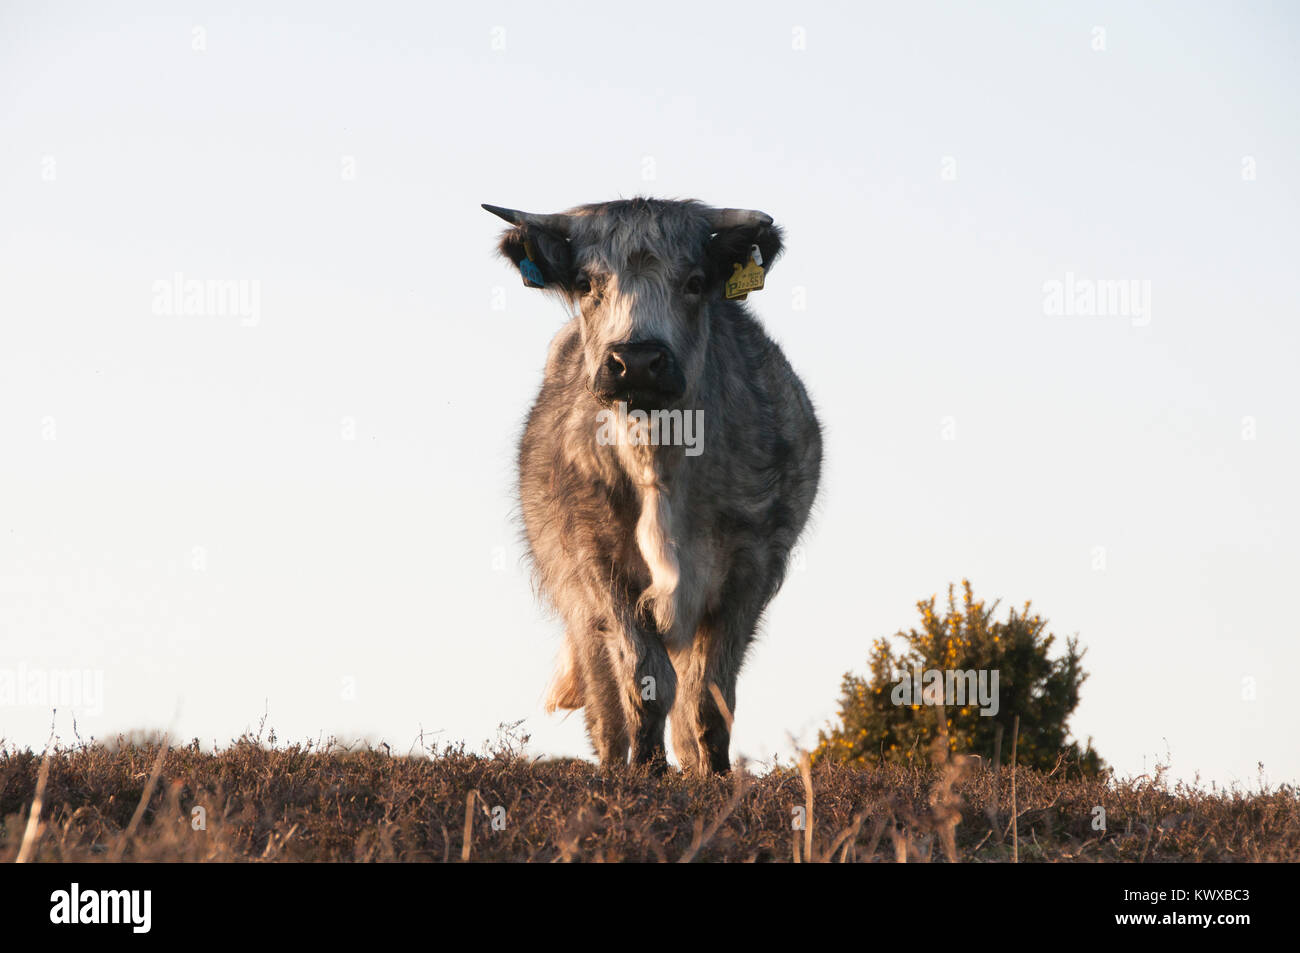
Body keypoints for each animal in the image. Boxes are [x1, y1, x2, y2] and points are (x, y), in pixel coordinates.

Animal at [484, 197, 821, 773]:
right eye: (585, 282)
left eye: (695, 281)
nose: (637, 360)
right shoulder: (597, 562)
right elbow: (645, 678)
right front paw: (646, 771)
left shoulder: (751, 567)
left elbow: (709, 694)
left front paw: (714, 775)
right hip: (579, 606)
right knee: (607, 705)